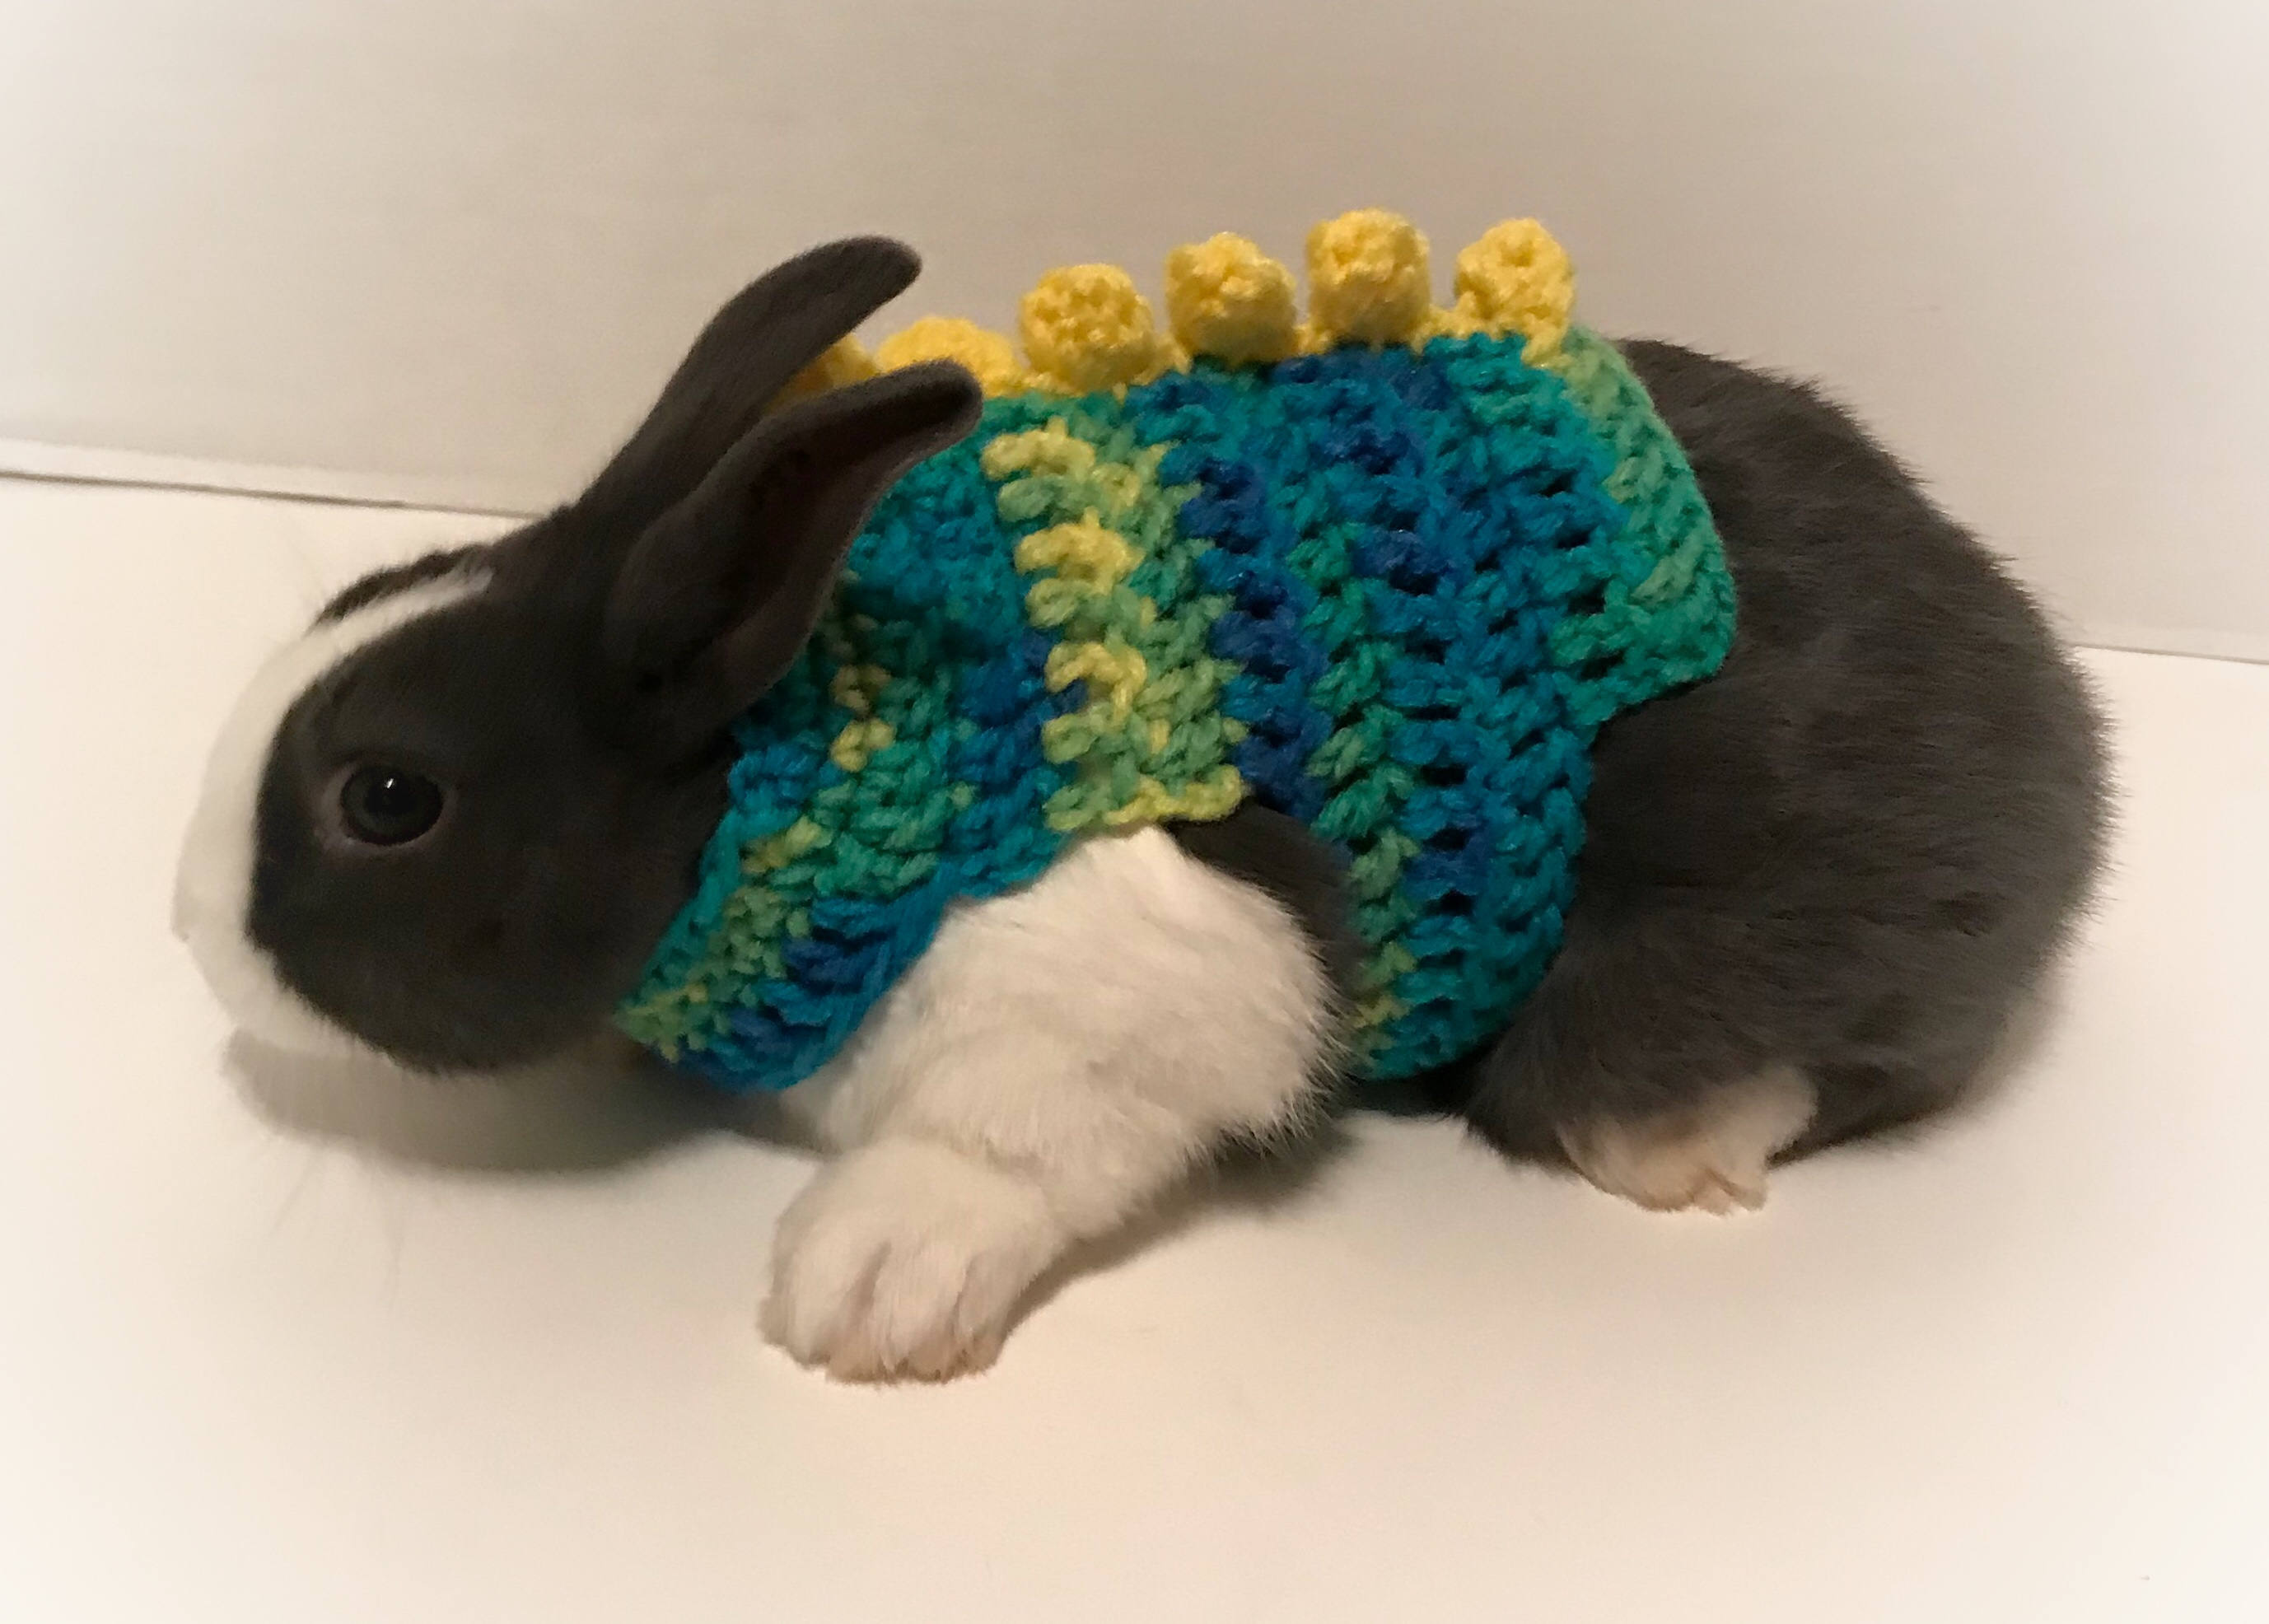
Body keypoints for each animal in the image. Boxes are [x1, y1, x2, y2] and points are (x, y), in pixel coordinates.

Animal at [174, 237, 2107, 1381]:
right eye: (361, 588)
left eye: (389, 796)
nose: (193, 933)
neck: (790, 760)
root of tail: (2062, 725)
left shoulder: (1136, 958)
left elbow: (1011, 1134)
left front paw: (865, 1289)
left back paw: (1683, 1141)